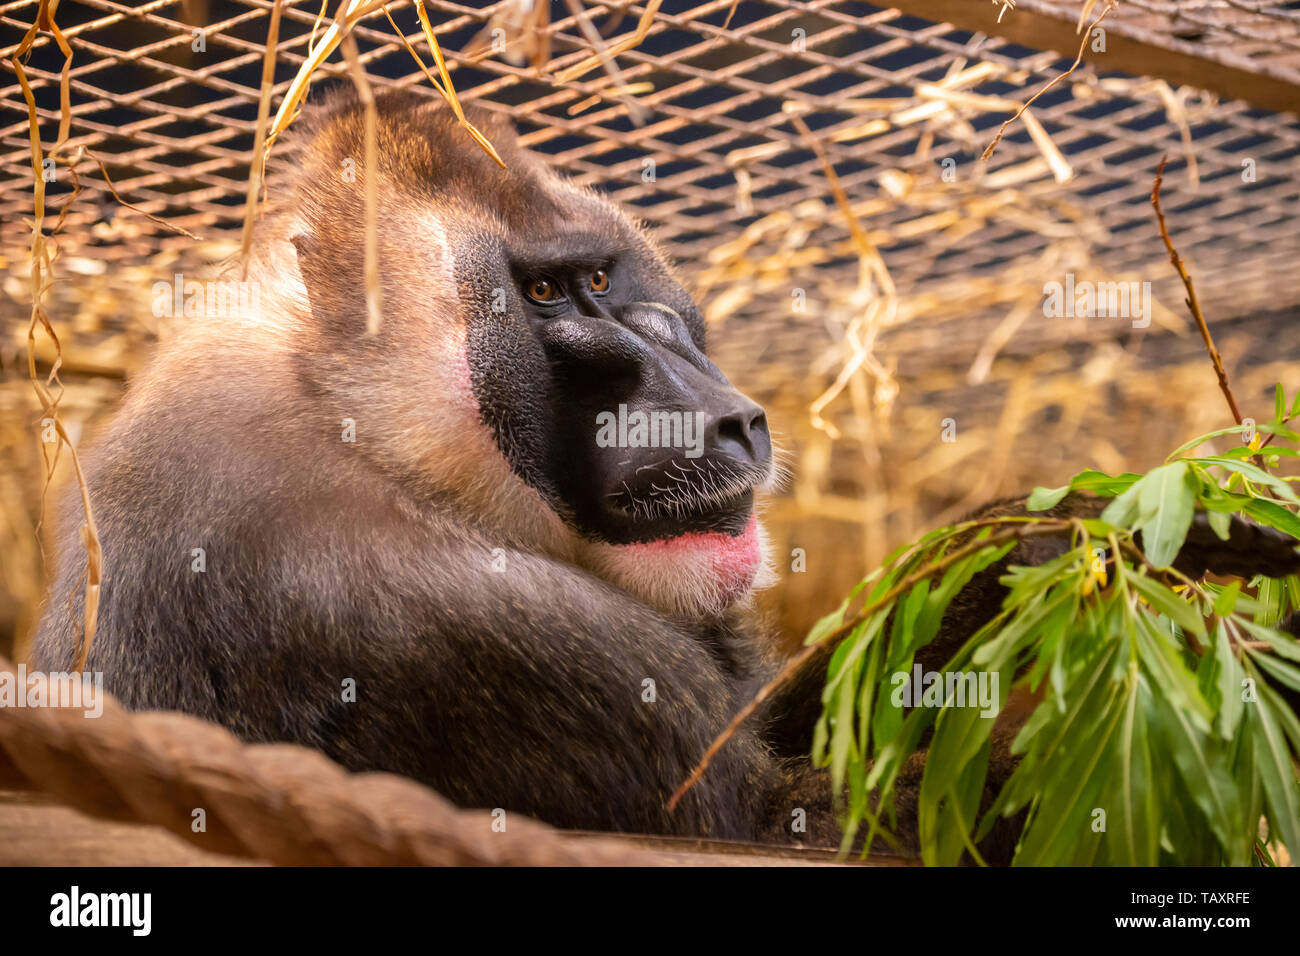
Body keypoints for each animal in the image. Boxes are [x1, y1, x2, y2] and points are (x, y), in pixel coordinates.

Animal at [31, 89, 1300, 861]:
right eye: (545, 295)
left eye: (602, 278)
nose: (730, 418)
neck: (357, 422)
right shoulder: (411, 609)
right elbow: (797, 818)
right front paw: (1053, 551)